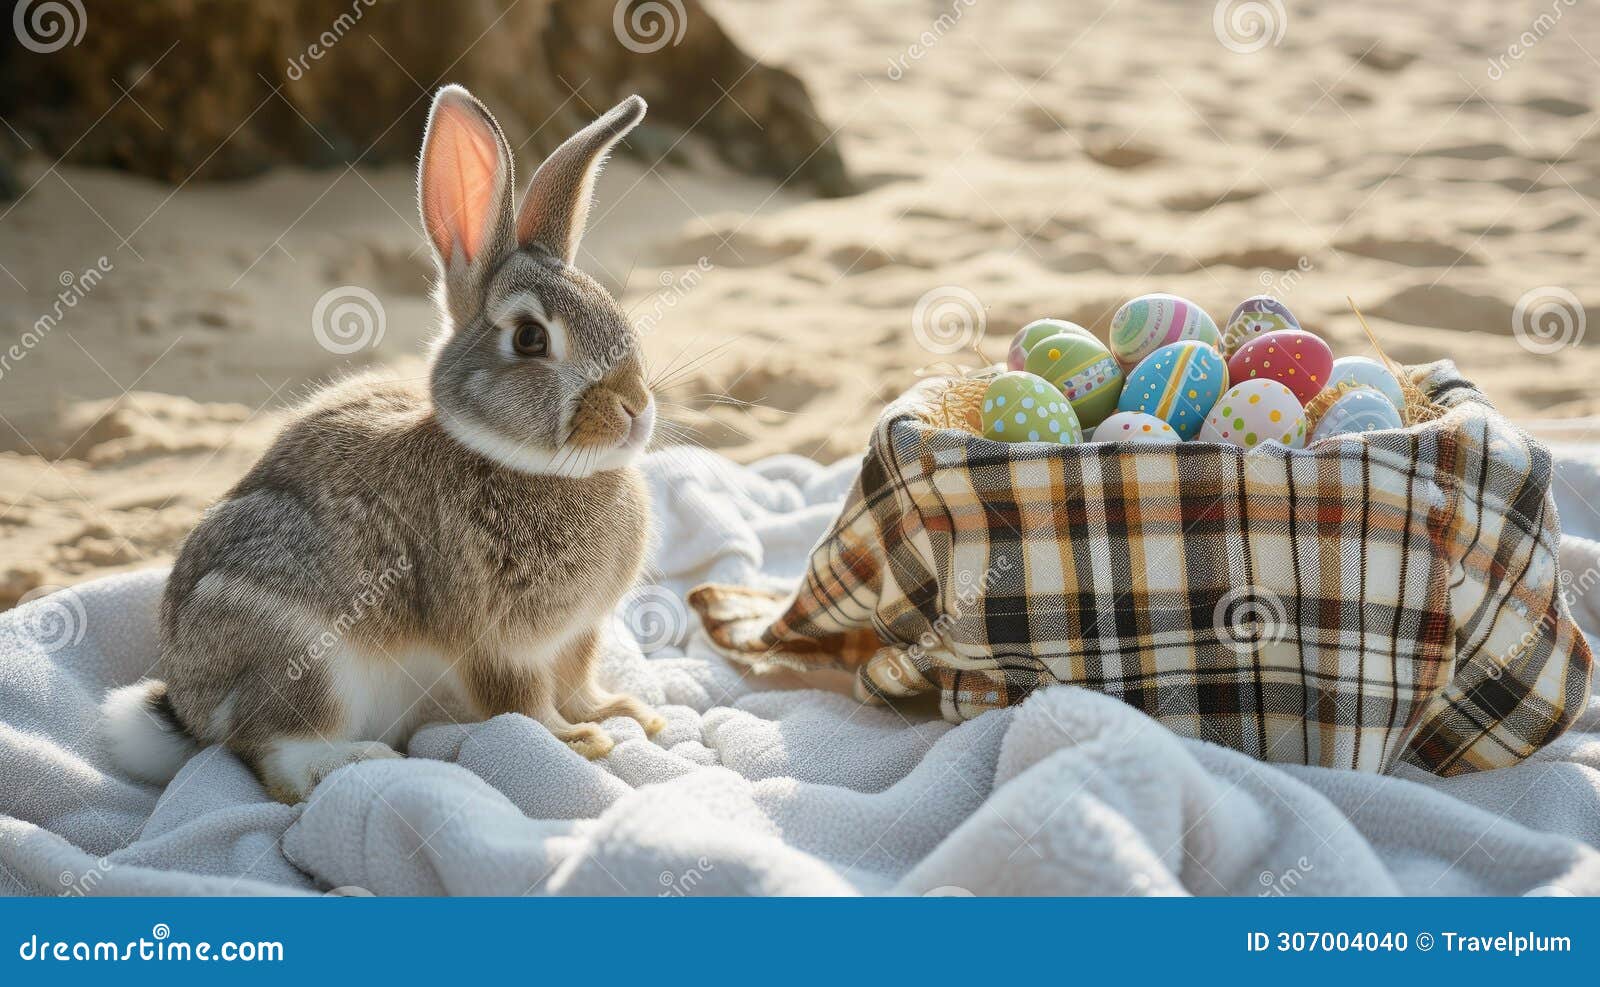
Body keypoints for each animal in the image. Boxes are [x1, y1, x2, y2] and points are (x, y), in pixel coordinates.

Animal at [98, 85, 667, 804]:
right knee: (274, 760)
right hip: (308, 658)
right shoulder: (495, 642)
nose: (635, 409)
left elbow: (577, 678)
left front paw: (621, 713)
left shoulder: (578, 633)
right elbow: (522, 704)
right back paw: (359, 760)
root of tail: (191, 710)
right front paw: (576, 742)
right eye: (531, 338)